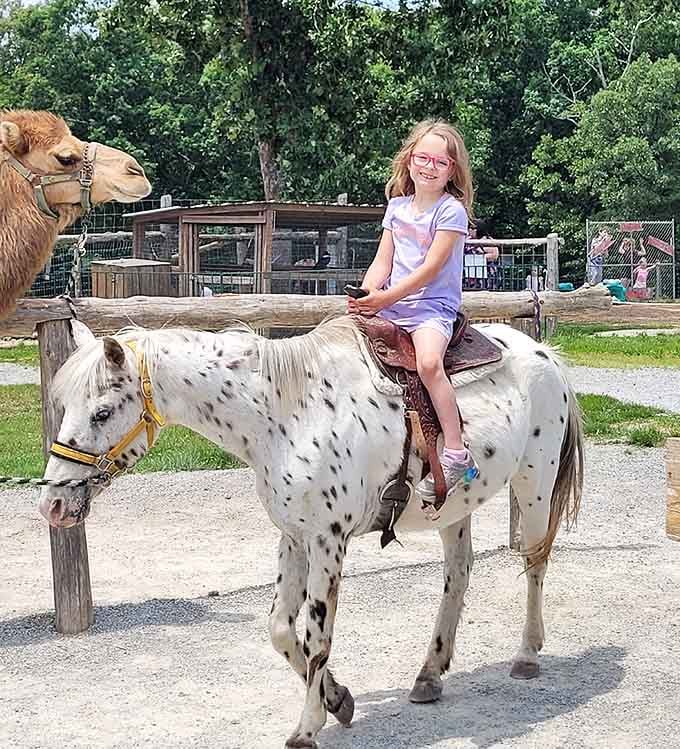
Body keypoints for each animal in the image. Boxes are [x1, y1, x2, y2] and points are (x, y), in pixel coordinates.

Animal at [39, 315, 583, 749]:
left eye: (101, 412)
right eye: (63, 406)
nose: (54, 504)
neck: (286, 414)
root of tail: (544, 354)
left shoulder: (328, 541)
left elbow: (318, 636)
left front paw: (306, 728)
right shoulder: (293, 537)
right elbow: (282, 630)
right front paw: (338, 700)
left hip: (534, 484)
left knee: (535, 560)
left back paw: (526, 655)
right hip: (452, 509)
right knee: (458, 574)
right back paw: (429, 675)